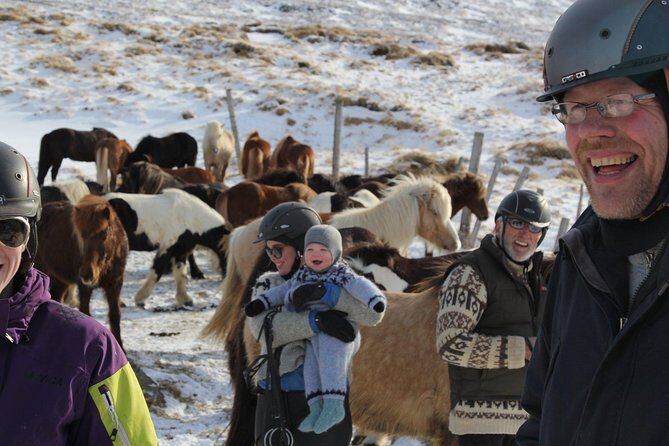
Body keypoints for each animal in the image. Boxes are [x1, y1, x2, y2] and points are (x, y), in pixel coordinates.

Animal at [34, 195, 129, 348]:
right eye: (82, 235)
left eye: (104, 234)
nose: (87, 273)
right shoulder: (85, 287)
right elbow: (86, 313)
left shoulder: (115, 284)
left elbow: (115, 315)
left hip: (61, 279)